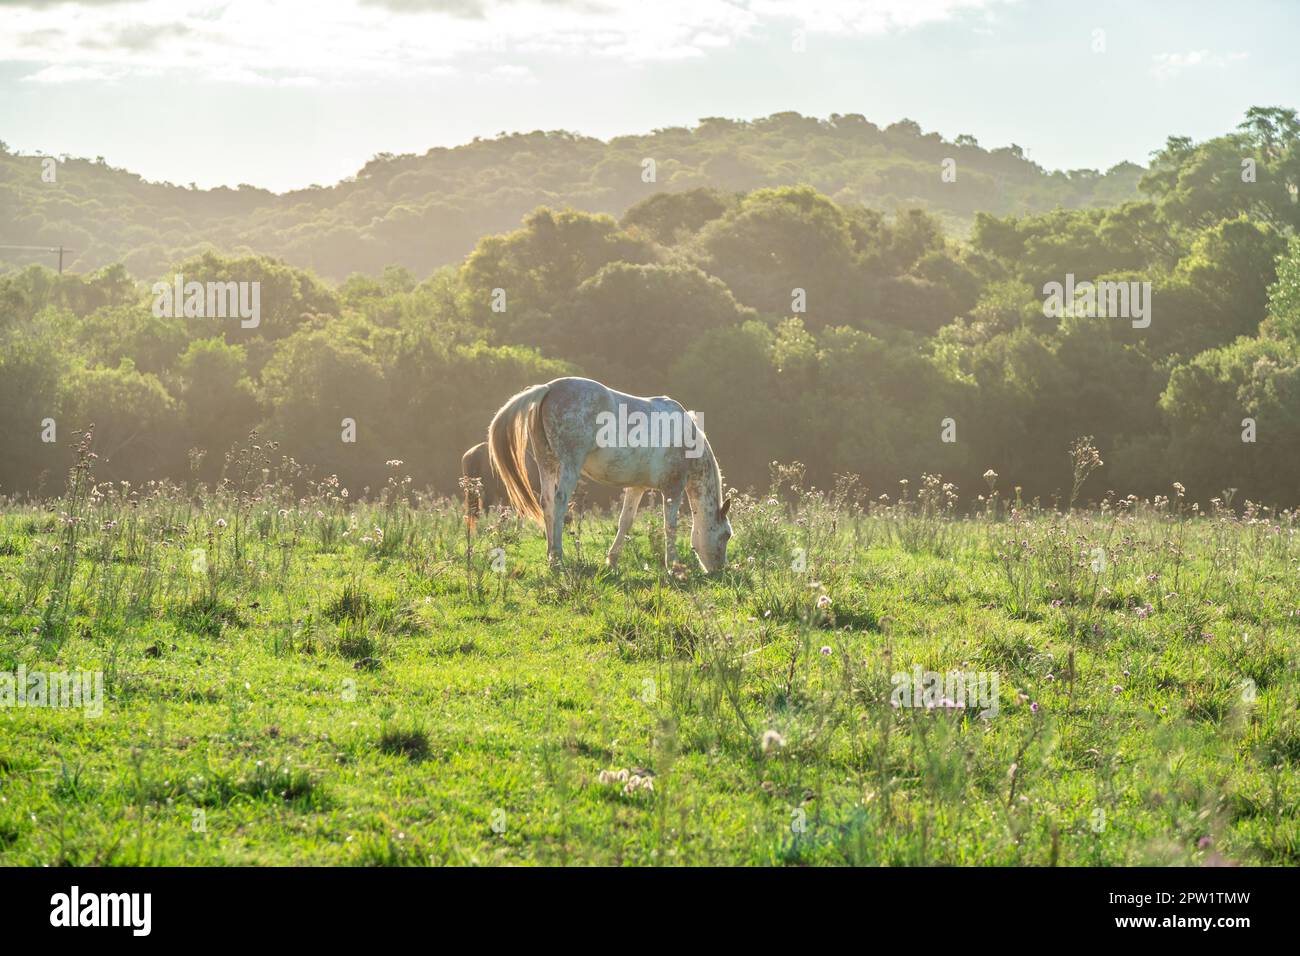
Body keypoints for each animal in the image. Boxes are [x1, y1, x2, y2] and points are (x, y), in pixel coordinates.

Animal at [488, 377, 732, 571]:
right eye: (726, 535)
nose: (717, 571)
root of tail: (550, 388)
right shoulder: (673, 489)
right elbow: (670, 527)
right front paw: (673, 566)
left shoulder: (637, 487)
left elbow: (626, 521)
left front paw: (612, 560)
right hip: (569, 465)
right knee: (559, 502)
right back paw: (557, 557)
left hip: (547, 463)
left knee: (546, 503)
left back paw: (551, 557)